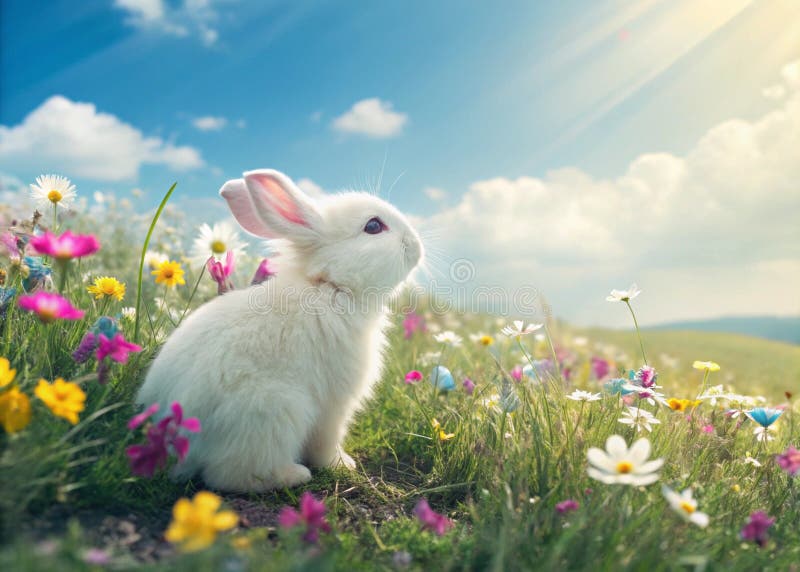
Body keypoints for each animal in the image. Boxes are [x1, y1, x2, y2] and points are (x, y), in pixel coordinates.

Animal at [136, 169, 424, 492]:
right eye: (373, 226)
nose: (417, 246)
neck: (330, 284)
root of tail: (175, 438)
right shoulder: (334, 404)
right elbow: (327, 442)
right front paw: (342, 464)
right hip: (276, 411)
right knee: (229, 475)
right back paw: (294, 475)